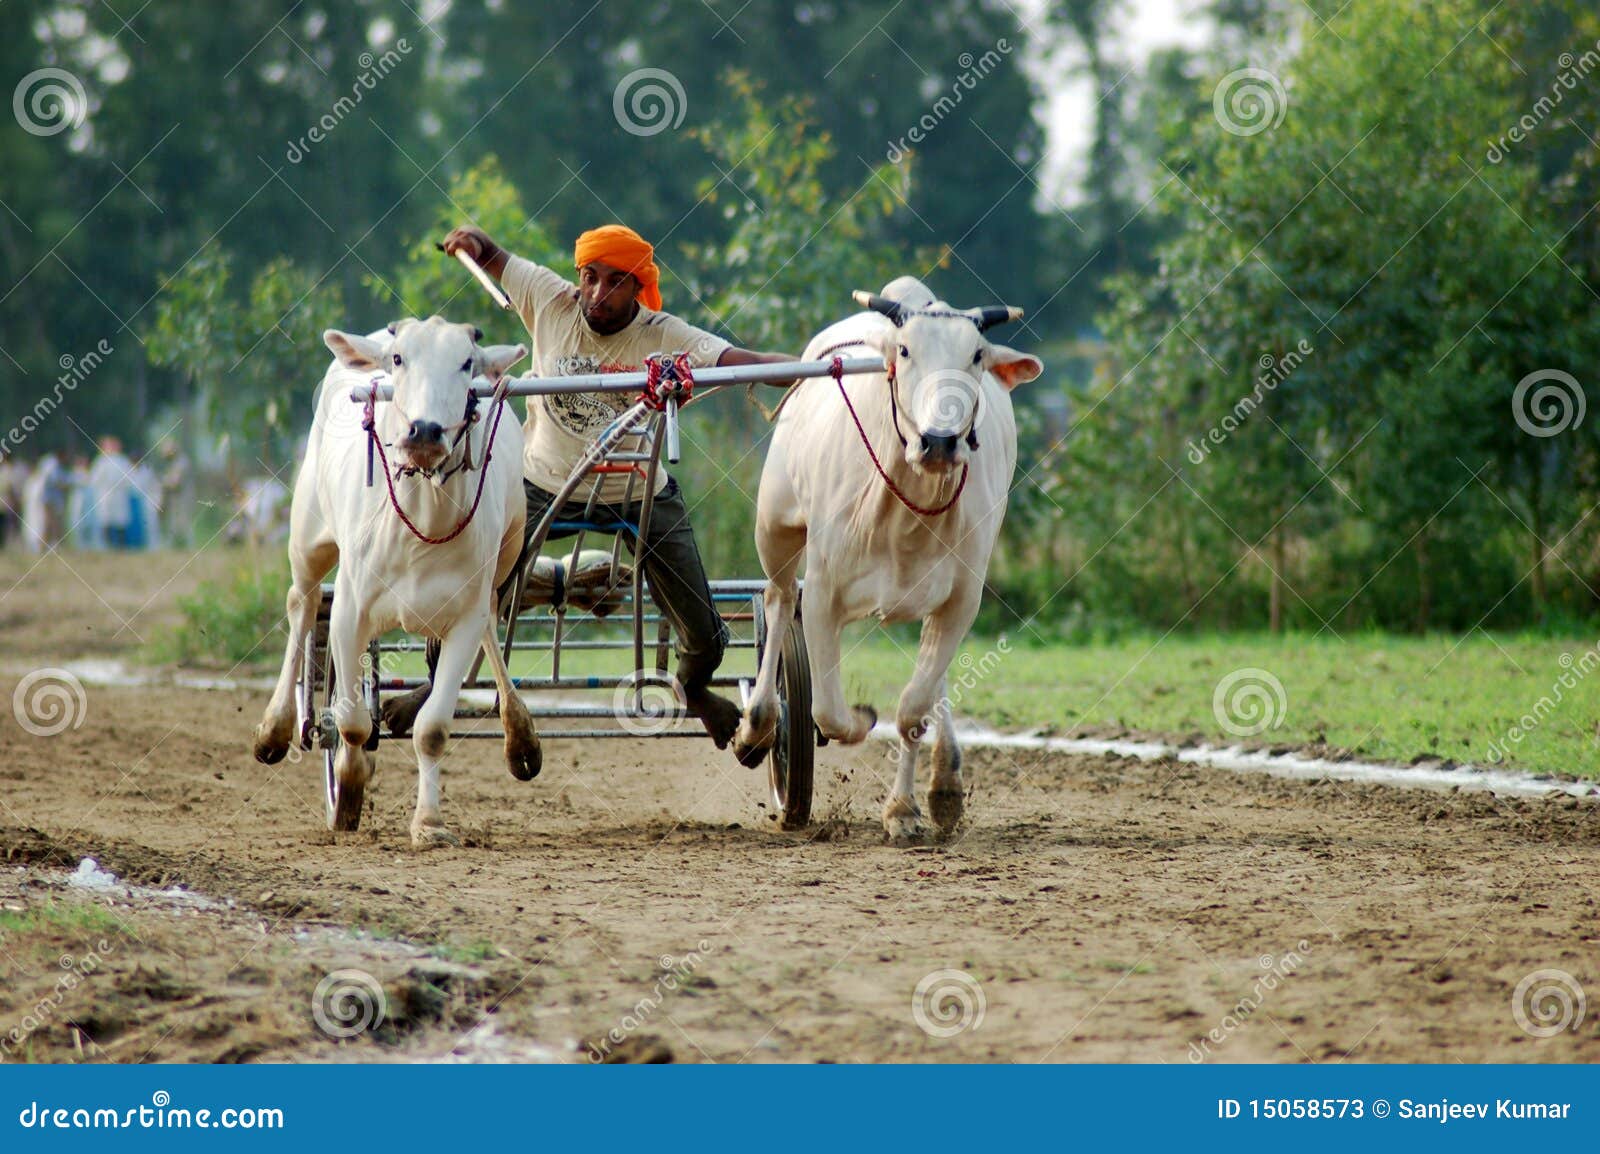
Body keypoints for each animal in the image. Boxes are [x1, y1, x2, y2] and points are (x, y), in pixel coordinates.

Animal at [252, 317, 538, 847]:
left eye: (467, 362)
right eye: (400, 359)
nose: (423, 430)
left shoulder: (464, 618)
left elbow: (433, 728)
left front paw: (429, 822)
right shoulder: (349, 613)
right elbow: (351, 721)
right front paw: (348, 782)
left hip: (507, 551)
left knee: (493, 620)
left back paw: (521, 734)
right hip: (307, 537)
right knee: (302, 605)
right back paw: (274, 728)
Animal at [733, 277, 1043, 841]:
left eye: (977, 355)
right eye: (905, 351)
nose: (939, 441)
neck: (906, 509)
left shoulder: (961, 599)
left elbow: (914, 708)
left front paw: (905, 809)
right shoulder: (822, 594)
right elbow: (829, 712)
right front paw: (858, 719)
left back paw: (946, 782)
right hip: (775, 527)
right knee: (776, 599)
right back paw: (758, 724)